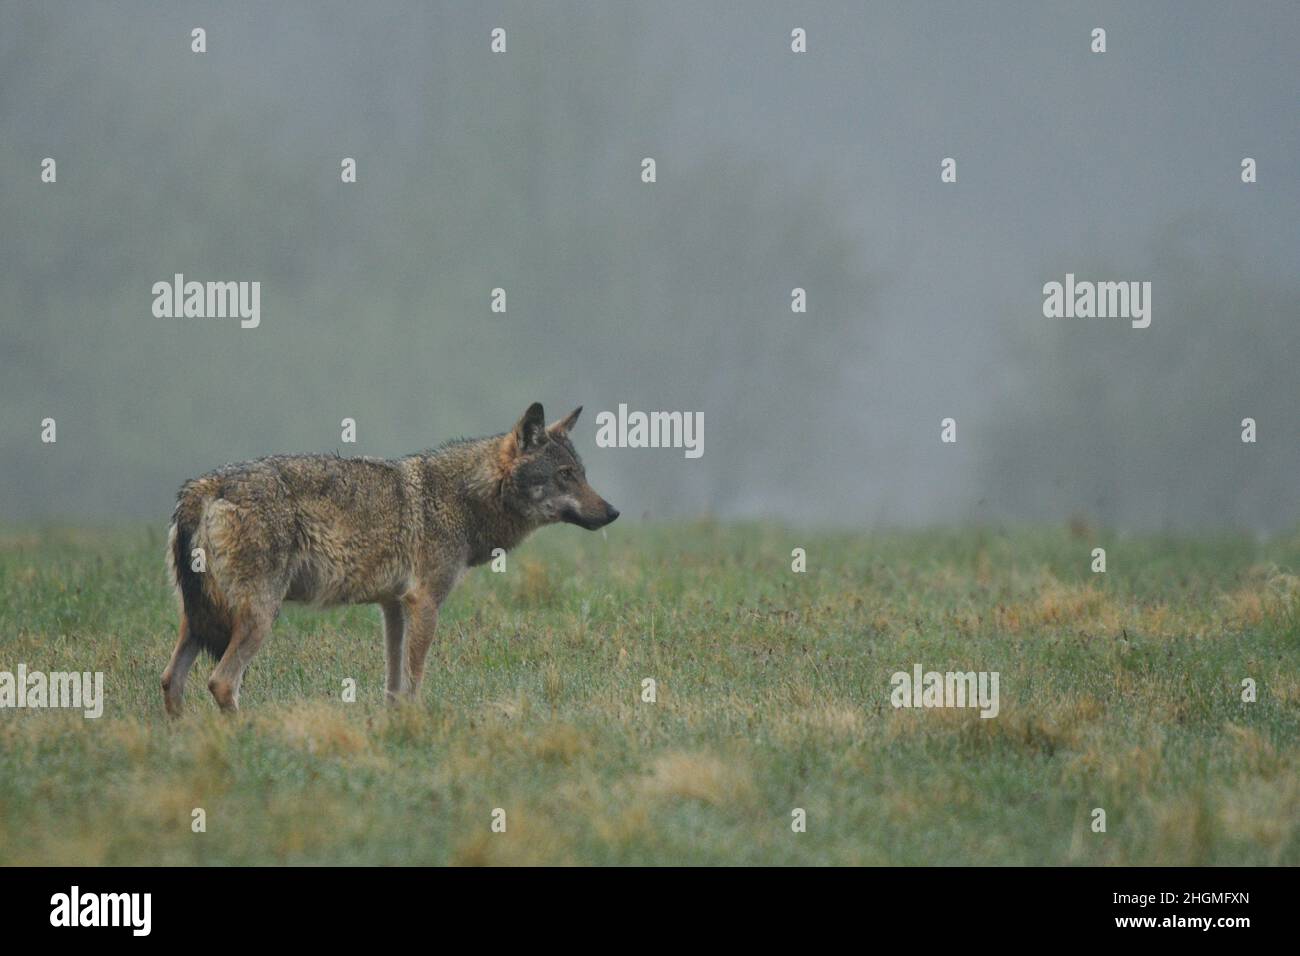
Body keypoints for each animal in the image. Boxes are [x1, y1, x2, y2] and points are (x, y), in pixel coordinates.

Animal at [161, 403, 618, 716]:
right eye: (564, 475)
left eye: (581, 473)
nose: (613, 512)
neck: (462, 499)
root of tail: (203, 486)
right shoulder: (425, 603)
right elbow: (414, 681)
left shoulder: (394, 607)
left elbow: (394, 686)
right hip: (259, 618)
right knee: (221, 682)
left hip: (198, 621)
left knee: (170, 680)